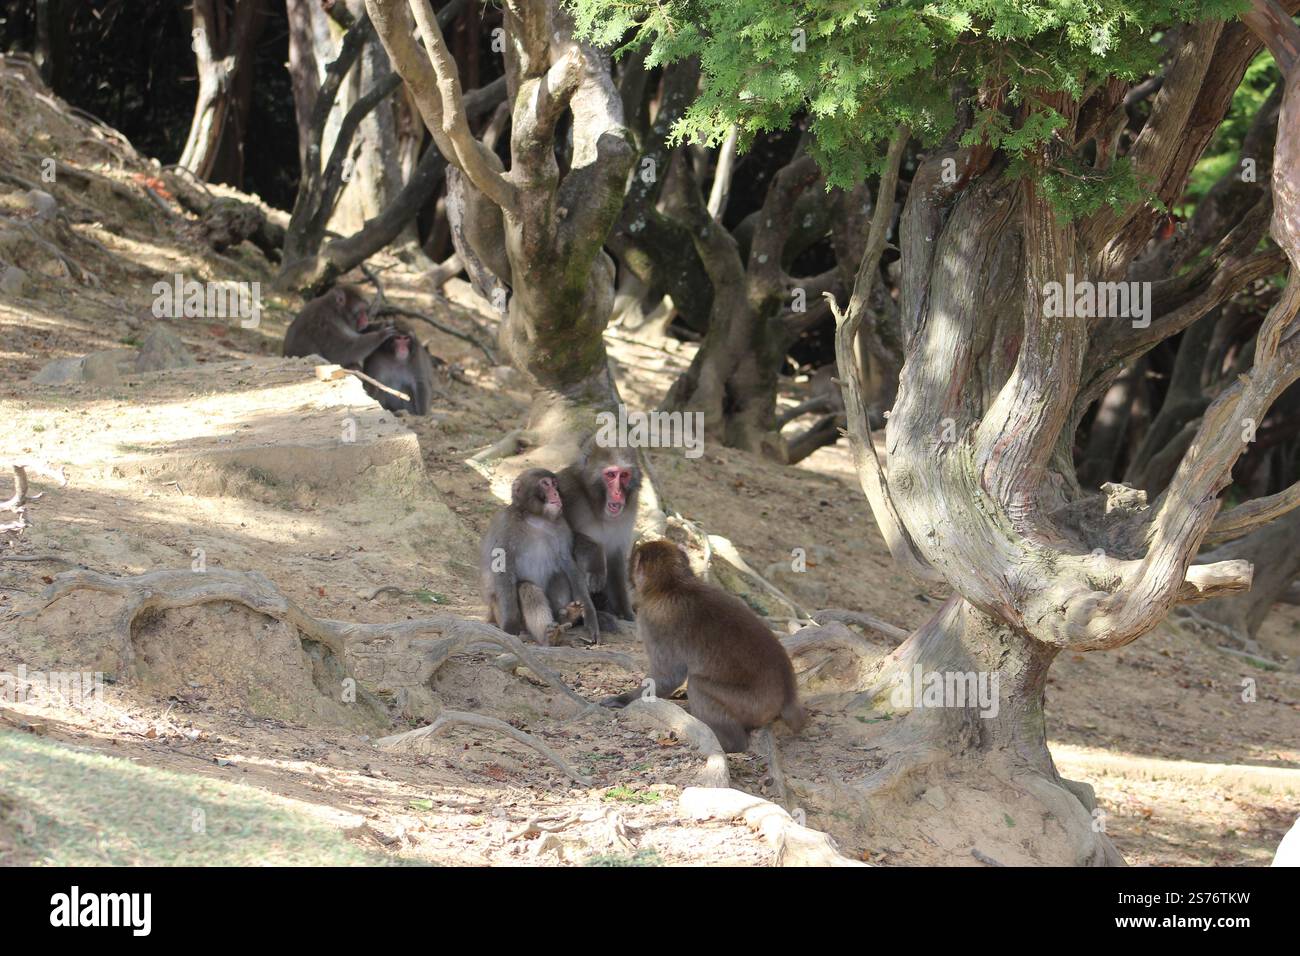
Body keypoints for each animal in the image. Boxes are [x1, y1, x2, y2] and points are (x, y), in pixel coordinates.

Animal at [480, 468, 601, 646]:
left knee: (559, 575)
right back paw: (547, 636)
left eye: (555, 484)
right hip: (497, 611)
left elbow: (569, 566)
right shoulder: (505, 525)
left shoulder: (562, 527)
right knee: (526, 587)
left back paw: (566, 617)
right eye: (545, 484)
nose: (556, 493)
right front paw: (510, 627)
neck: (536, 518)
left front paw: (591, 620)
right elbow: (503, 567)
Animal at [557, 441, 641, 623]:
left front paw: (626, 612)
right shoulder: (567, 491)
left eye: (624, 475)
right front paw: (596, 560)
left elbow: (616, 556)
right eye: (611, 475)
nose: (618, 492)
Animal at [601, 539, 805, 753]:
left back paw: (728, 743)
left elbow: (668, 676)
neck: (672, 585)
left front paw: (624, 699)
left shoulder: (652, 621)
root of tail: (788, 696)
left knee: (697, 684)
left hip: (753, 705)